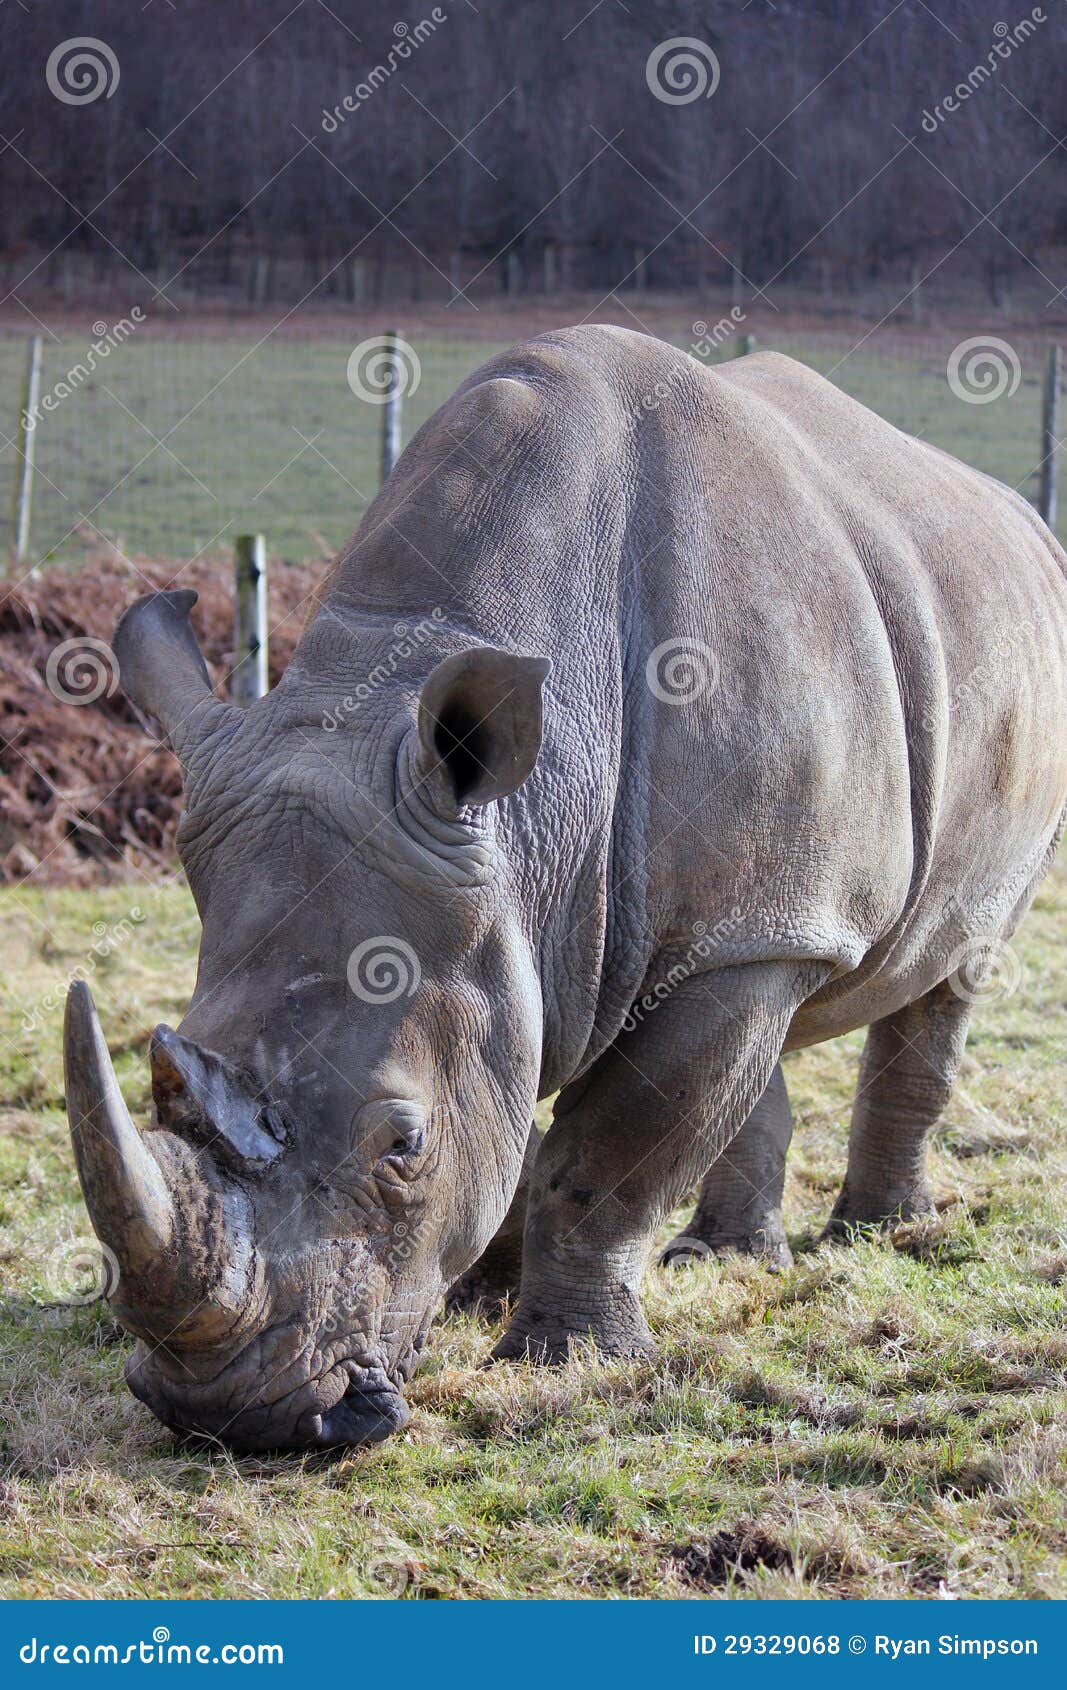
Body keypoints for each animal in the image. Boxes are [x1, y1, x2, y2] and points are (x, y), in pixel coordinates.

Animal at [64, 326, 1067, 1451]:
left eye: (401, 1144)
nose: (229, 1417)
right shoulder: (537, 928)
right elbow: (532, 1113)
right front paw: (481, 1295)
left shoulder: (708, 931)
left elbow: (608, 1149)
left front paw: (566, 1359)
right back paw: (726, 1258)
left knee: (951, 966)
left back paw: (875, 1233)